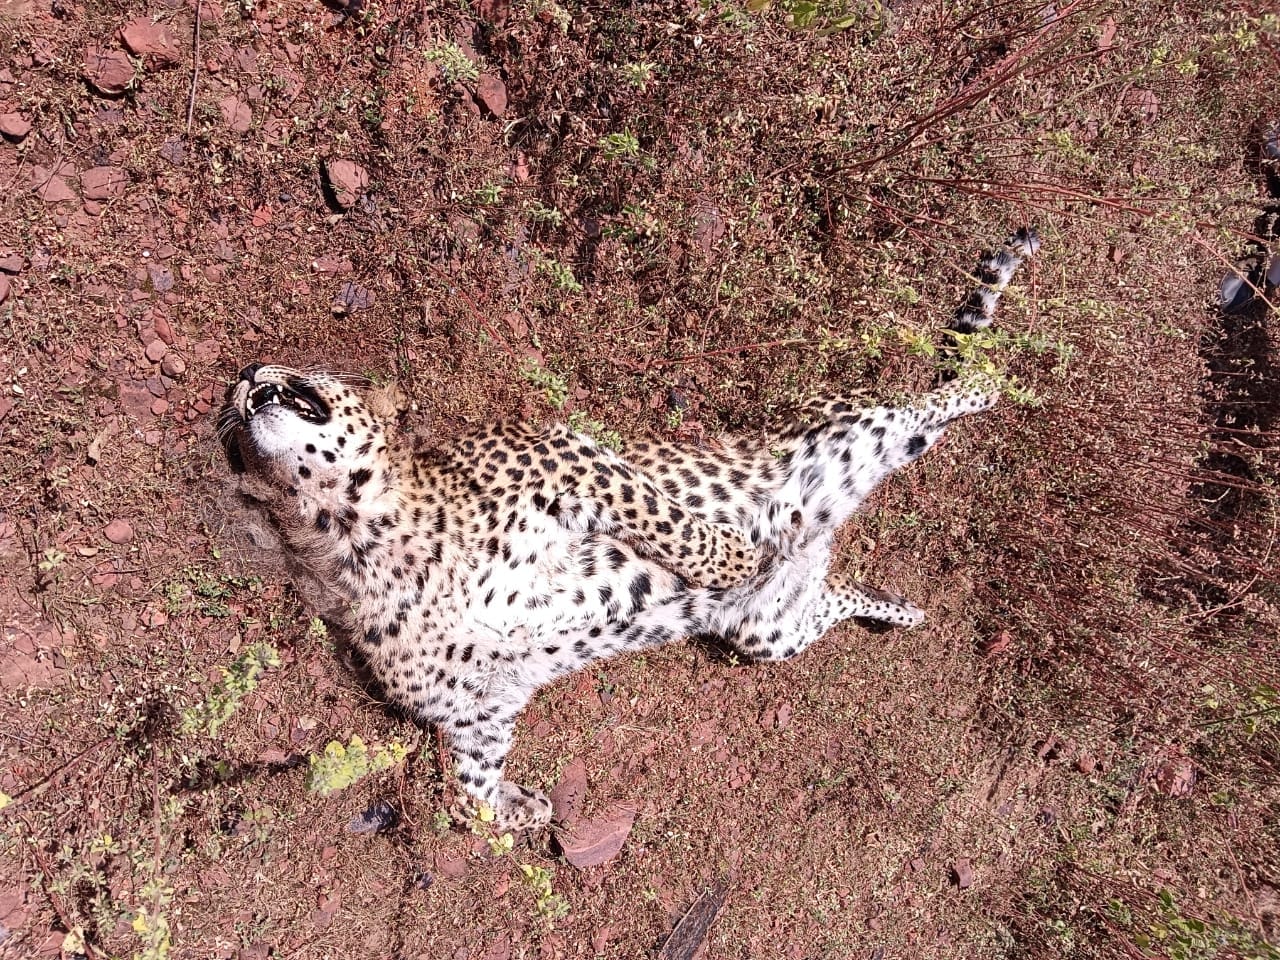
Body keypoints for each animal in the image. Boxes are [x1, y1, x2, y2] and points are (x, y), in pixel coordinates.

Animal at [218, 228, 1040, 829]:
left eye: (289, 367)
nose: (247, 371)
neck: (359, 524)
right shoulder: (478, 711)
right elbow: (472, 788)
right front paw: (524, 809)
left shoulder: (565, 454)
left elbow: (663, 517)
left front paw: (731, 554)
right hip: (770, 633)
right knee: (836, 594)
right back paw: (897, 609)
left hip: (857, 436)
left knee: (949, 391)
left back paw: (996, 371)